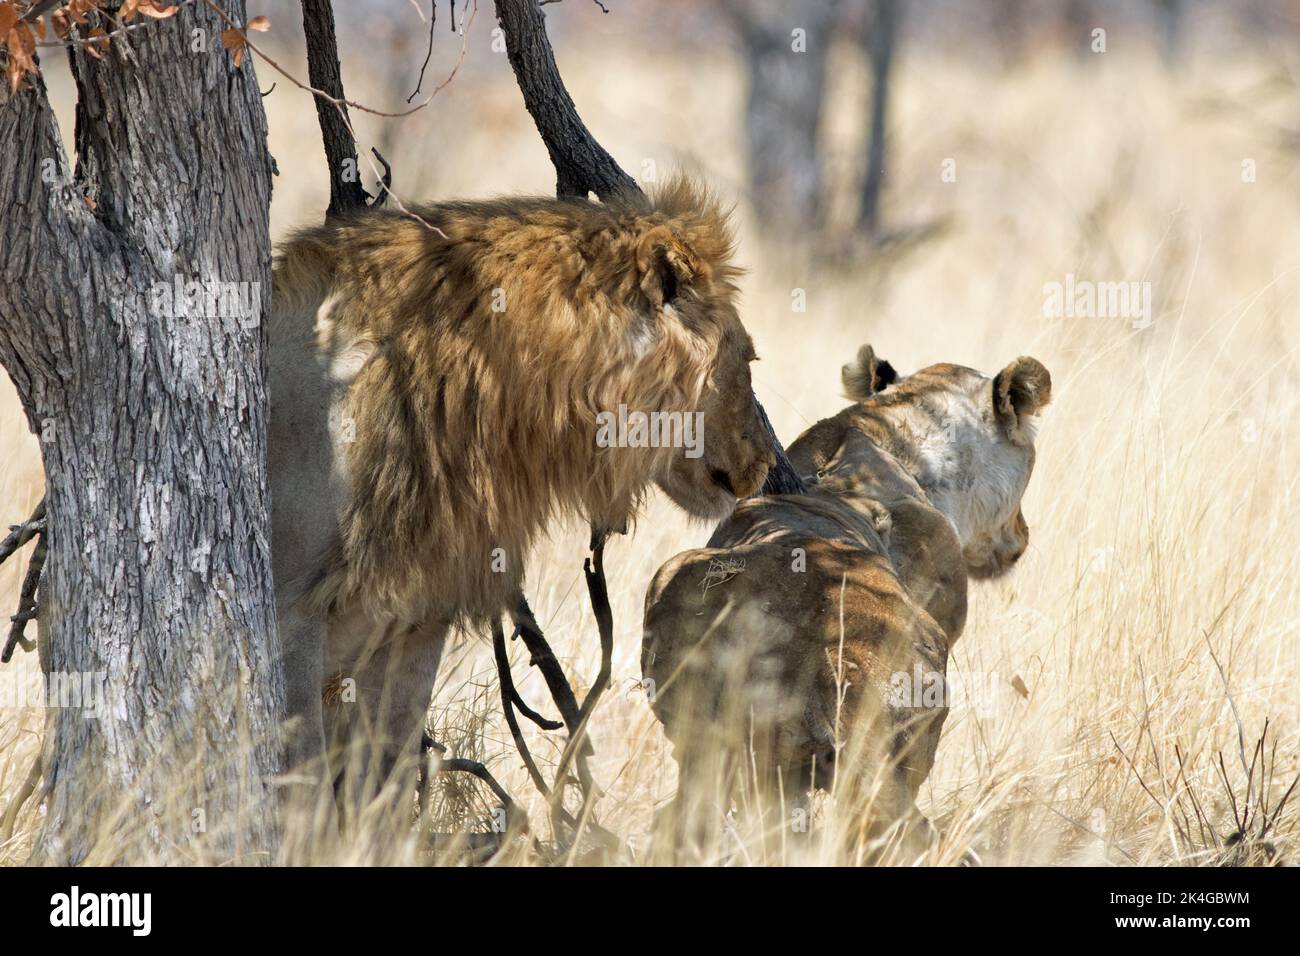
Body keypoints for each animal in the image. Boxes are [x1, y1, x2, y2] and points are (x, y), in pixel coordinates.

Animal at [268, 175, 774, 813]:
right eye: (749, 357)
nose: (764, 464)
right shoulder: (293, 615)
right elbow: (305, 788)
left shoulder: (417, 616)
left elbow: (382, 783)